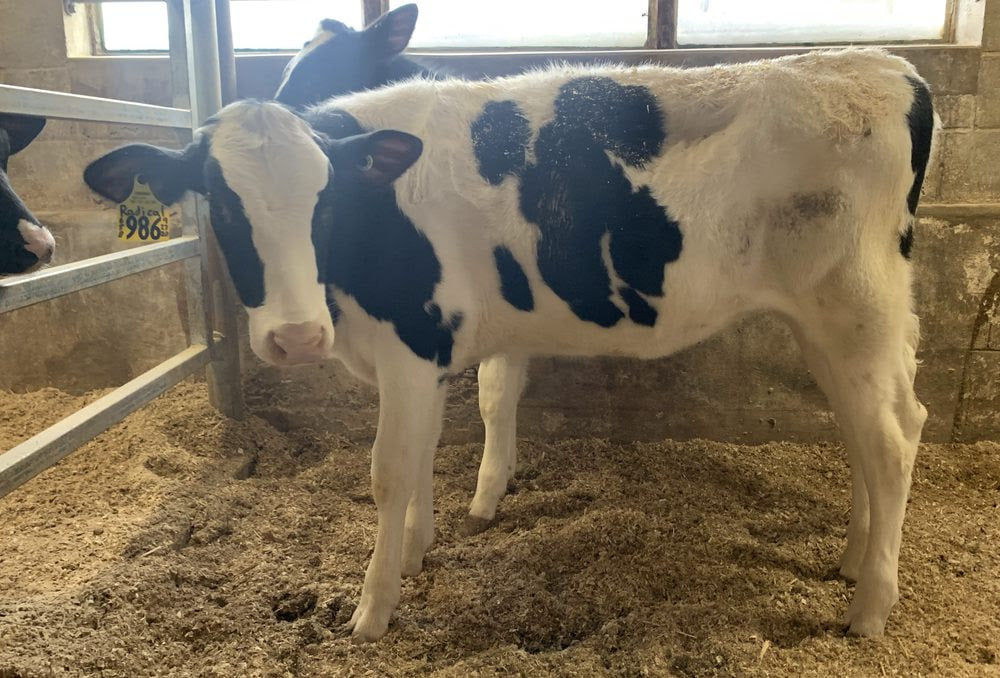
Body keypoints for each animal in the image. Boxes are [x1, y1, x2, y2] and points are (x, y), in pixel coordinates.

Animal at [83, 48, 935, 642]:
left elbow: (390, 473)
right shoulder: (426, 354)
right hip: (840, 325)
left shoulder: (411, 342)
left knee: (891, 443)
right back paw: (855, 557)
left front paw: (373, 609)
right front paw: (419, 550)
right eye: (223, 204)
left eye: (325, 202)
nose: (295, 337)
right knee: (878, 430)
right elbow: (428, 453)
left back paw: (870, 607)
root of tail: (885, 65)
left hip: (853, 309)